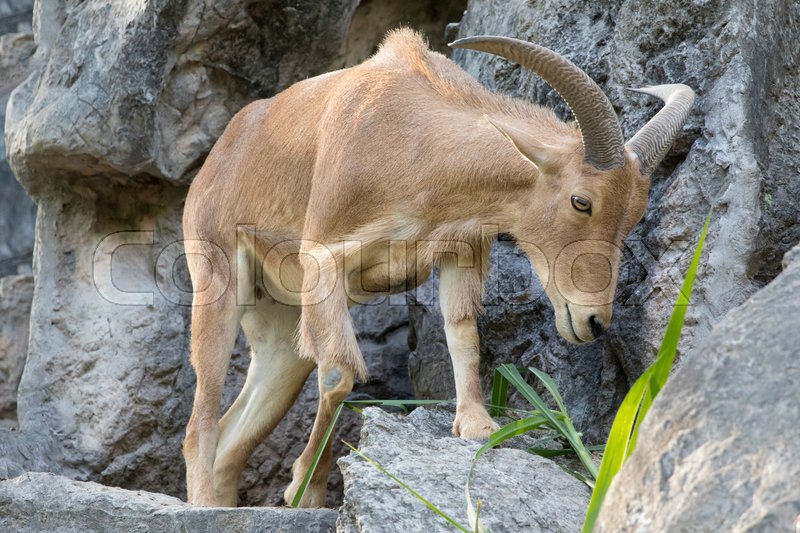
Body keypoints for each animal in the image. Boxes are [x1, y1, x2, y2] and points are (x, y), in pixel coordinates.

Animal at [181, 29, 694, 507]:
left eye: (634, 214)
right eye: (581, 201)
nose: (593, 322)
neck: (413, 143)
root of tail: (218, 158)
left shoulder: (461, 248)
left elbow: (462, 329)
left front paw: (476, 424)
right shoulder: (324, 255)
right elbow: (339, 375)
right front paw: (304, 489)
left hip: (281, 328)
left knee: (234, 432)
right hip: (217, 277)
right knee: (200, 420)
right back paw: (205, 502)